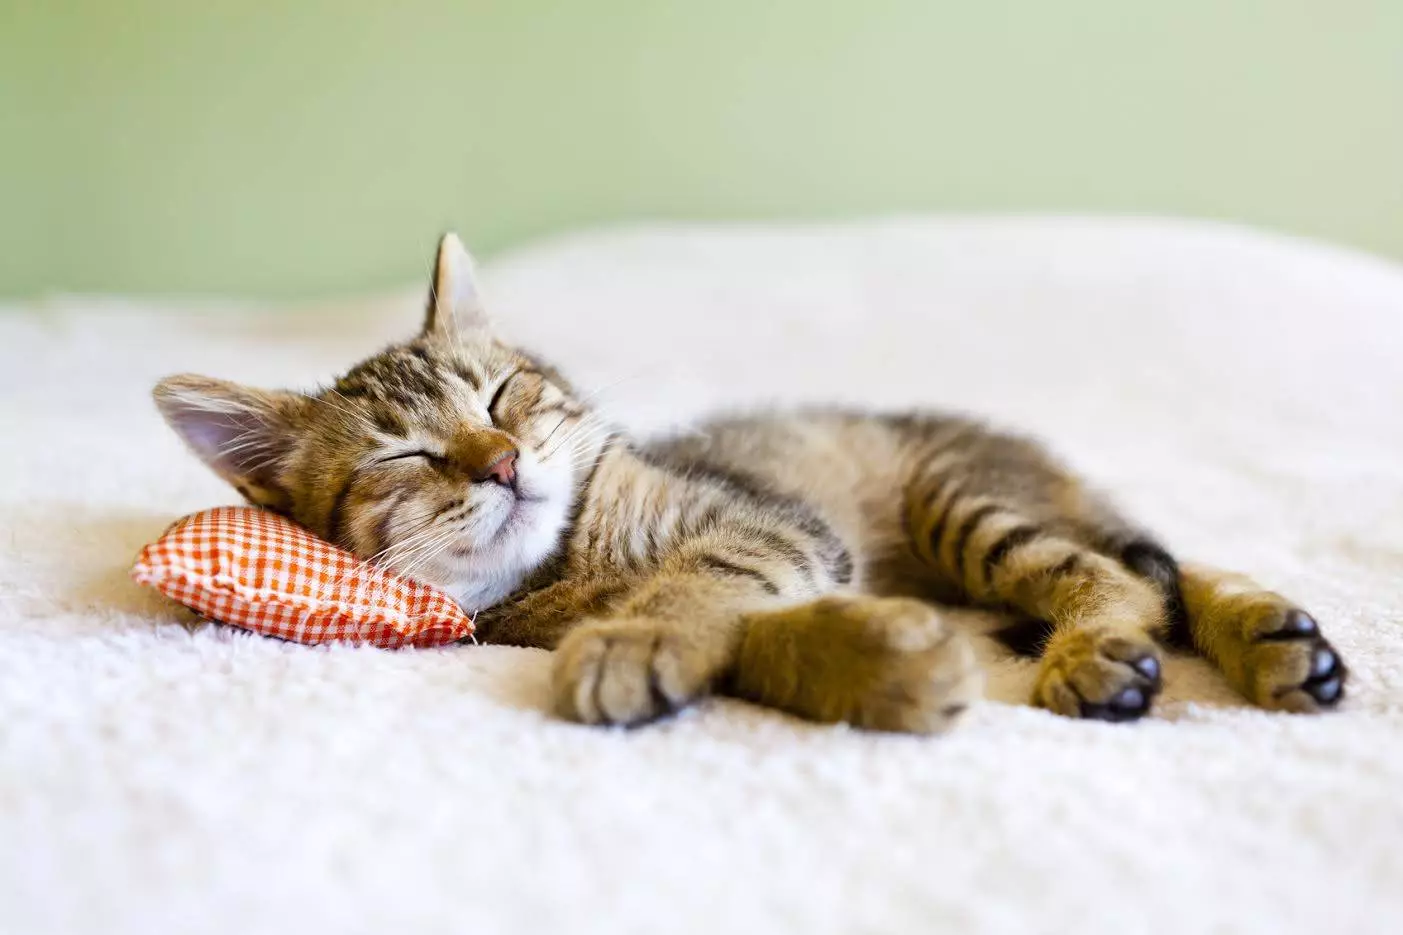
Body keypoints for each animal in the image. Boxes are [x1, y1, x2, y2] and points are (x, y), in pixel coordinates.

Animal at [153, 233, 1346, 730]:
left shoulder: (768, 520)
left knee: (1130, 572)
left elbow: (704, 580)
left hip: (962, 503)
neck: (574, 560)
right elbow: (756, 636)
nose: (500, 462)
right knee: (1149, 566)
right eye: (400, 454)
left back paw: (1114, 648)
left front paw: (638, 636)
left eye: (502, 395)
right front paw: (876, 665)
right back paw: (1276, 642)